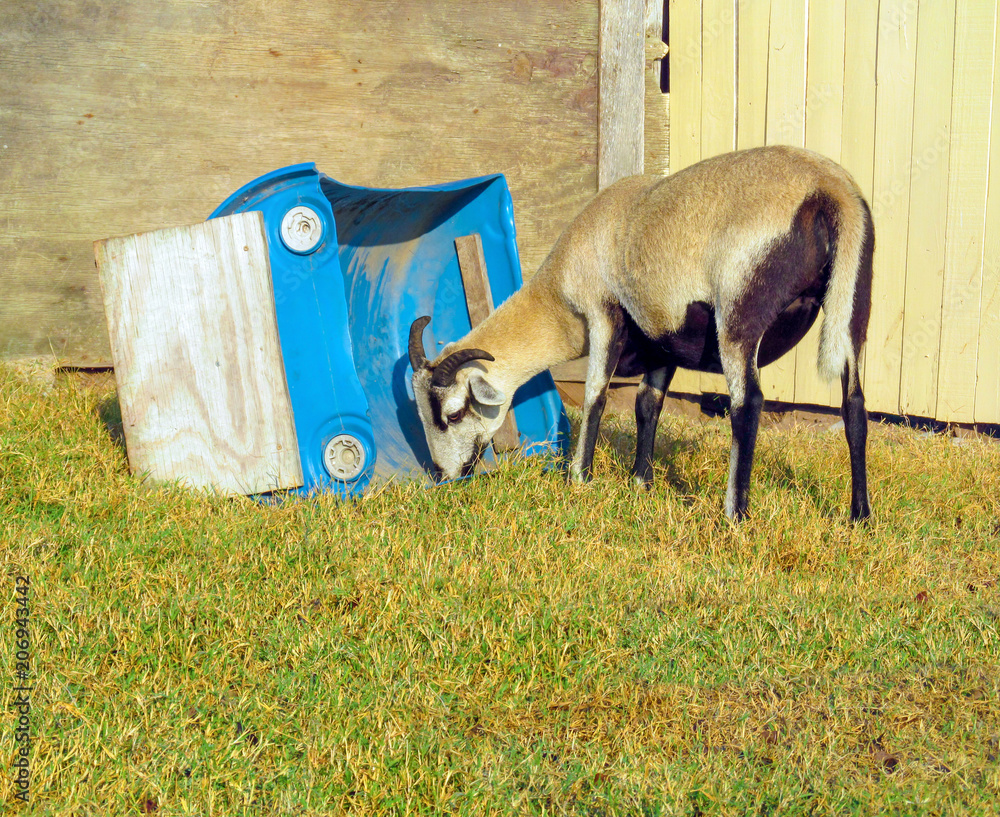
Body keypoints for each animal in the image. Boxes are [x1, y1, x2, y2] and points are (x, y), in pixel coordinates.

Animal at [409, 145, 874, 521]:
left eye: (453, 413)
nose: (444, 475)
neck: (557, 300)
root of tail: (830, 188)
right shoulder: (663, 338)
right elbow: (647, 404)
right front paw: (640, 482)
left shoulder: (603, 315)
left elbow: (596, 396)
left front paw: (580, 478)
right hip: (853, 305)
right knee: (854, 404)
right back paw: (860, 516)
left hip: (741, 309)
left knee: (749, 404)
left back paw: (734, 514)